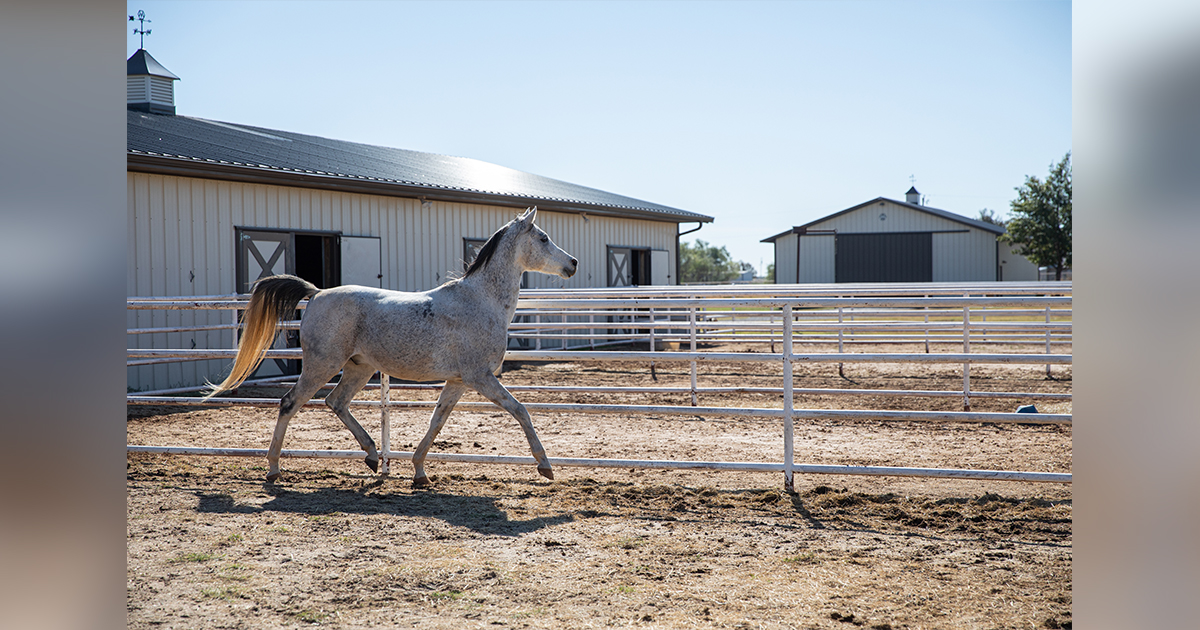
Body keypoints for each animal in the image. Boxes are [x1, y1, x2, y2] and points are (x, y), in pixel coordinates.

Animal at [204, 207, 578, 485]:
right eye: (543, 238)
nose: (572, 264)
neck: (480, 301)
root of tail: (317, 293)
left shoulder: (458, 381)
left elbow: (436, 421)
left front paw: (419, 472)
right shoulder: (480, 377)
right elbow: (521, 410)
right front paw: (545, 466)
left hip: (359, 367)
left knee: (335, 402)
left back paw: (372, 456)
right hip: (321, 365)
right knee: (288, 403)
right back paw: (273, 468)